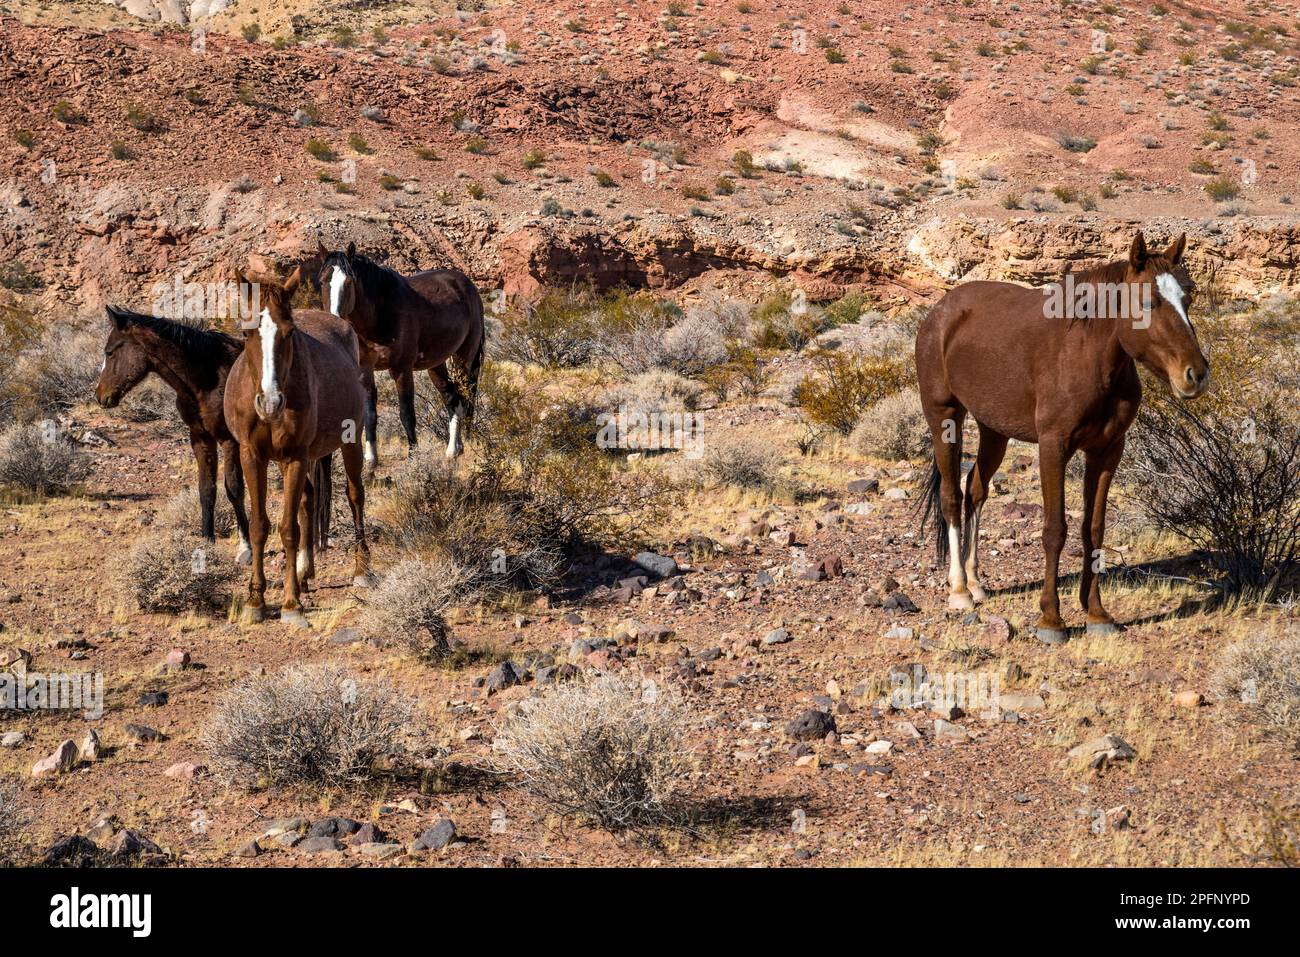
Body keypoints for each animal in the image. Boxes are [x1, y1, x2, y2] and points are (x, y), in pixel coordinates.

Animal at [96, 306, 252, 564]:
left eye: (110, 352)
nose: (100, 396)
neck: (208, 379)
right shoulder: (201, 439)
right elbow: (206, 490)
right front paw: (206, 543)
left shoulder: (230, 441)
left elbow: (234, 489)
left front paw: (245, 549)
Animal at [223, 267, 371, 627]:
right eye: (246, 332)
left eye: (289, 333)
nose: (270, 402)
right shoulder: (253, 455)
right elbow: (260, 525)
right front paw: (256, 600)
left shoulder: (295, 457)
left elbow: (288, 528)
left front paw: (290, 604)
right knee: (309, 499)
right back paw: (305, 574)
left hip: (349, 440)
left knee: (355, 495)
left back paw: (361, 570)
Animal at [307, 241, 485, 469]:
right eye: (322, 281)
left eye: (348, 281)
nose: (335, 319)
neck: (380, 313)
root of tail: (466, 284)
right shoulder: (365, 371)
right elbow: (369, 415)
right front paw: (370, 460)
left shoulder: (401, 369)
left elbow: (406, 413)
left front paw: (413, 458)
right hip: (436, 363)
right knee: (451, 397)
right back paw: (453, 450)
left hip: (465, 356)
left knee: (466, 394)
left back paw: (465, 443)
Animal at [916, 231, 1211, 644]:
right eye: (1147, 302)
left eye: (1188, 298)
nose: (1196, 374)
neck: (1088, 356)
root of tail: (941, 311)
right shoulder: (1053, 448)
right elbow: (1055, 529)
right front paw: (1051, 619)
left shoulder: (1107, 450)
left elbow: (1094, 529)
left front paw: (1097, 613)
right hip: (944, 417)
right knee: (951, 496)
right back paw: (959, 592)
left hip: (994, 430)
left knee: (975, 490)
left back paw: (976, 583)